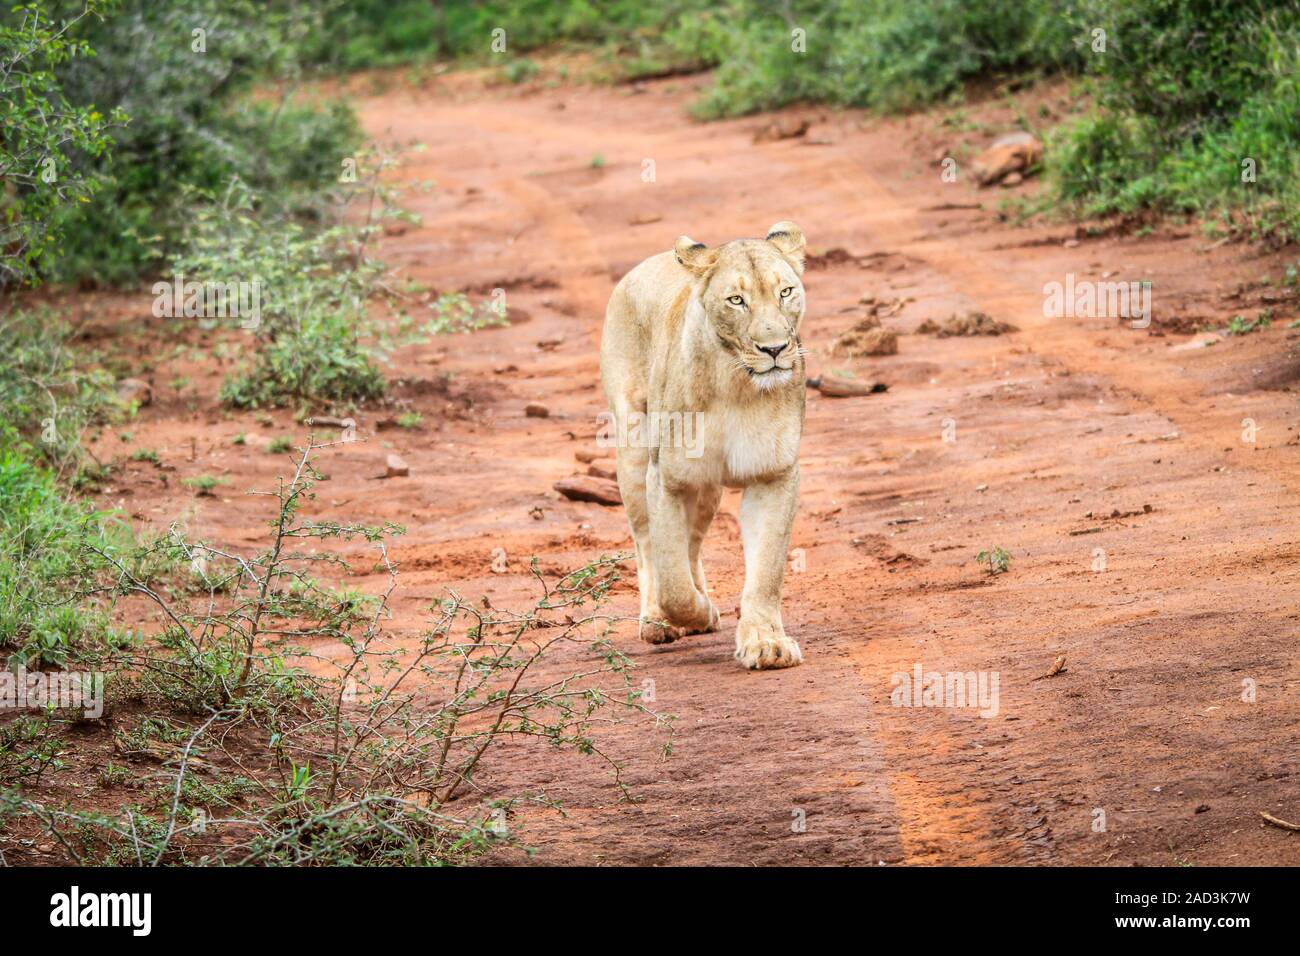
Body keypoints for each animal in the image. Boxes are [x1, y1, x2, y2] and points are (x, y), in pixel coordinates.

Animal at [599, 222, 807, 669]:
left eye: (785, 292)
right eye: (736, 300)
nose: (775, 349)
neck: (737, 384)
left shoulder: (774, 474)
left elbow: (766, 570)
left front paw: (766, 643)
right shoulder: (667, 478)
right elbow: (672, 581)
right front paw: (693, 615)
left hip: (708, 486)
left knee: (692, 544)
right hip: (634, 454)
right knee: (647, 544)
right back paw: (657, 621)